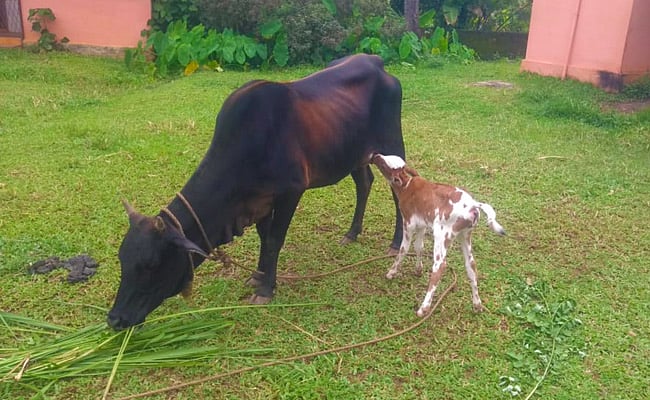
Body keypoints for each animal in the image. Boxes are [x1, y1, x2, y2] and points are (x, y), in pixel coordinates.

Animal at [107, 54, 406, 330]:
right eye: (122, 260)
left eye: (151, 265)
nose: (115, 319)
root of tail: (375, 61)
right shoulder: (260, 201)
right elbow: (264, 237)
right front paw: (259, 275)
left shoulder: (291, 191)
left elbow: (274, 240)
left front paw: (265, 289)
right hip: (353, 154)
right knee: (364, 183)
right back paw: (352, 233)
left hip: (392, 146)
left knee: (398, 191)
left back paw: (395, 243)